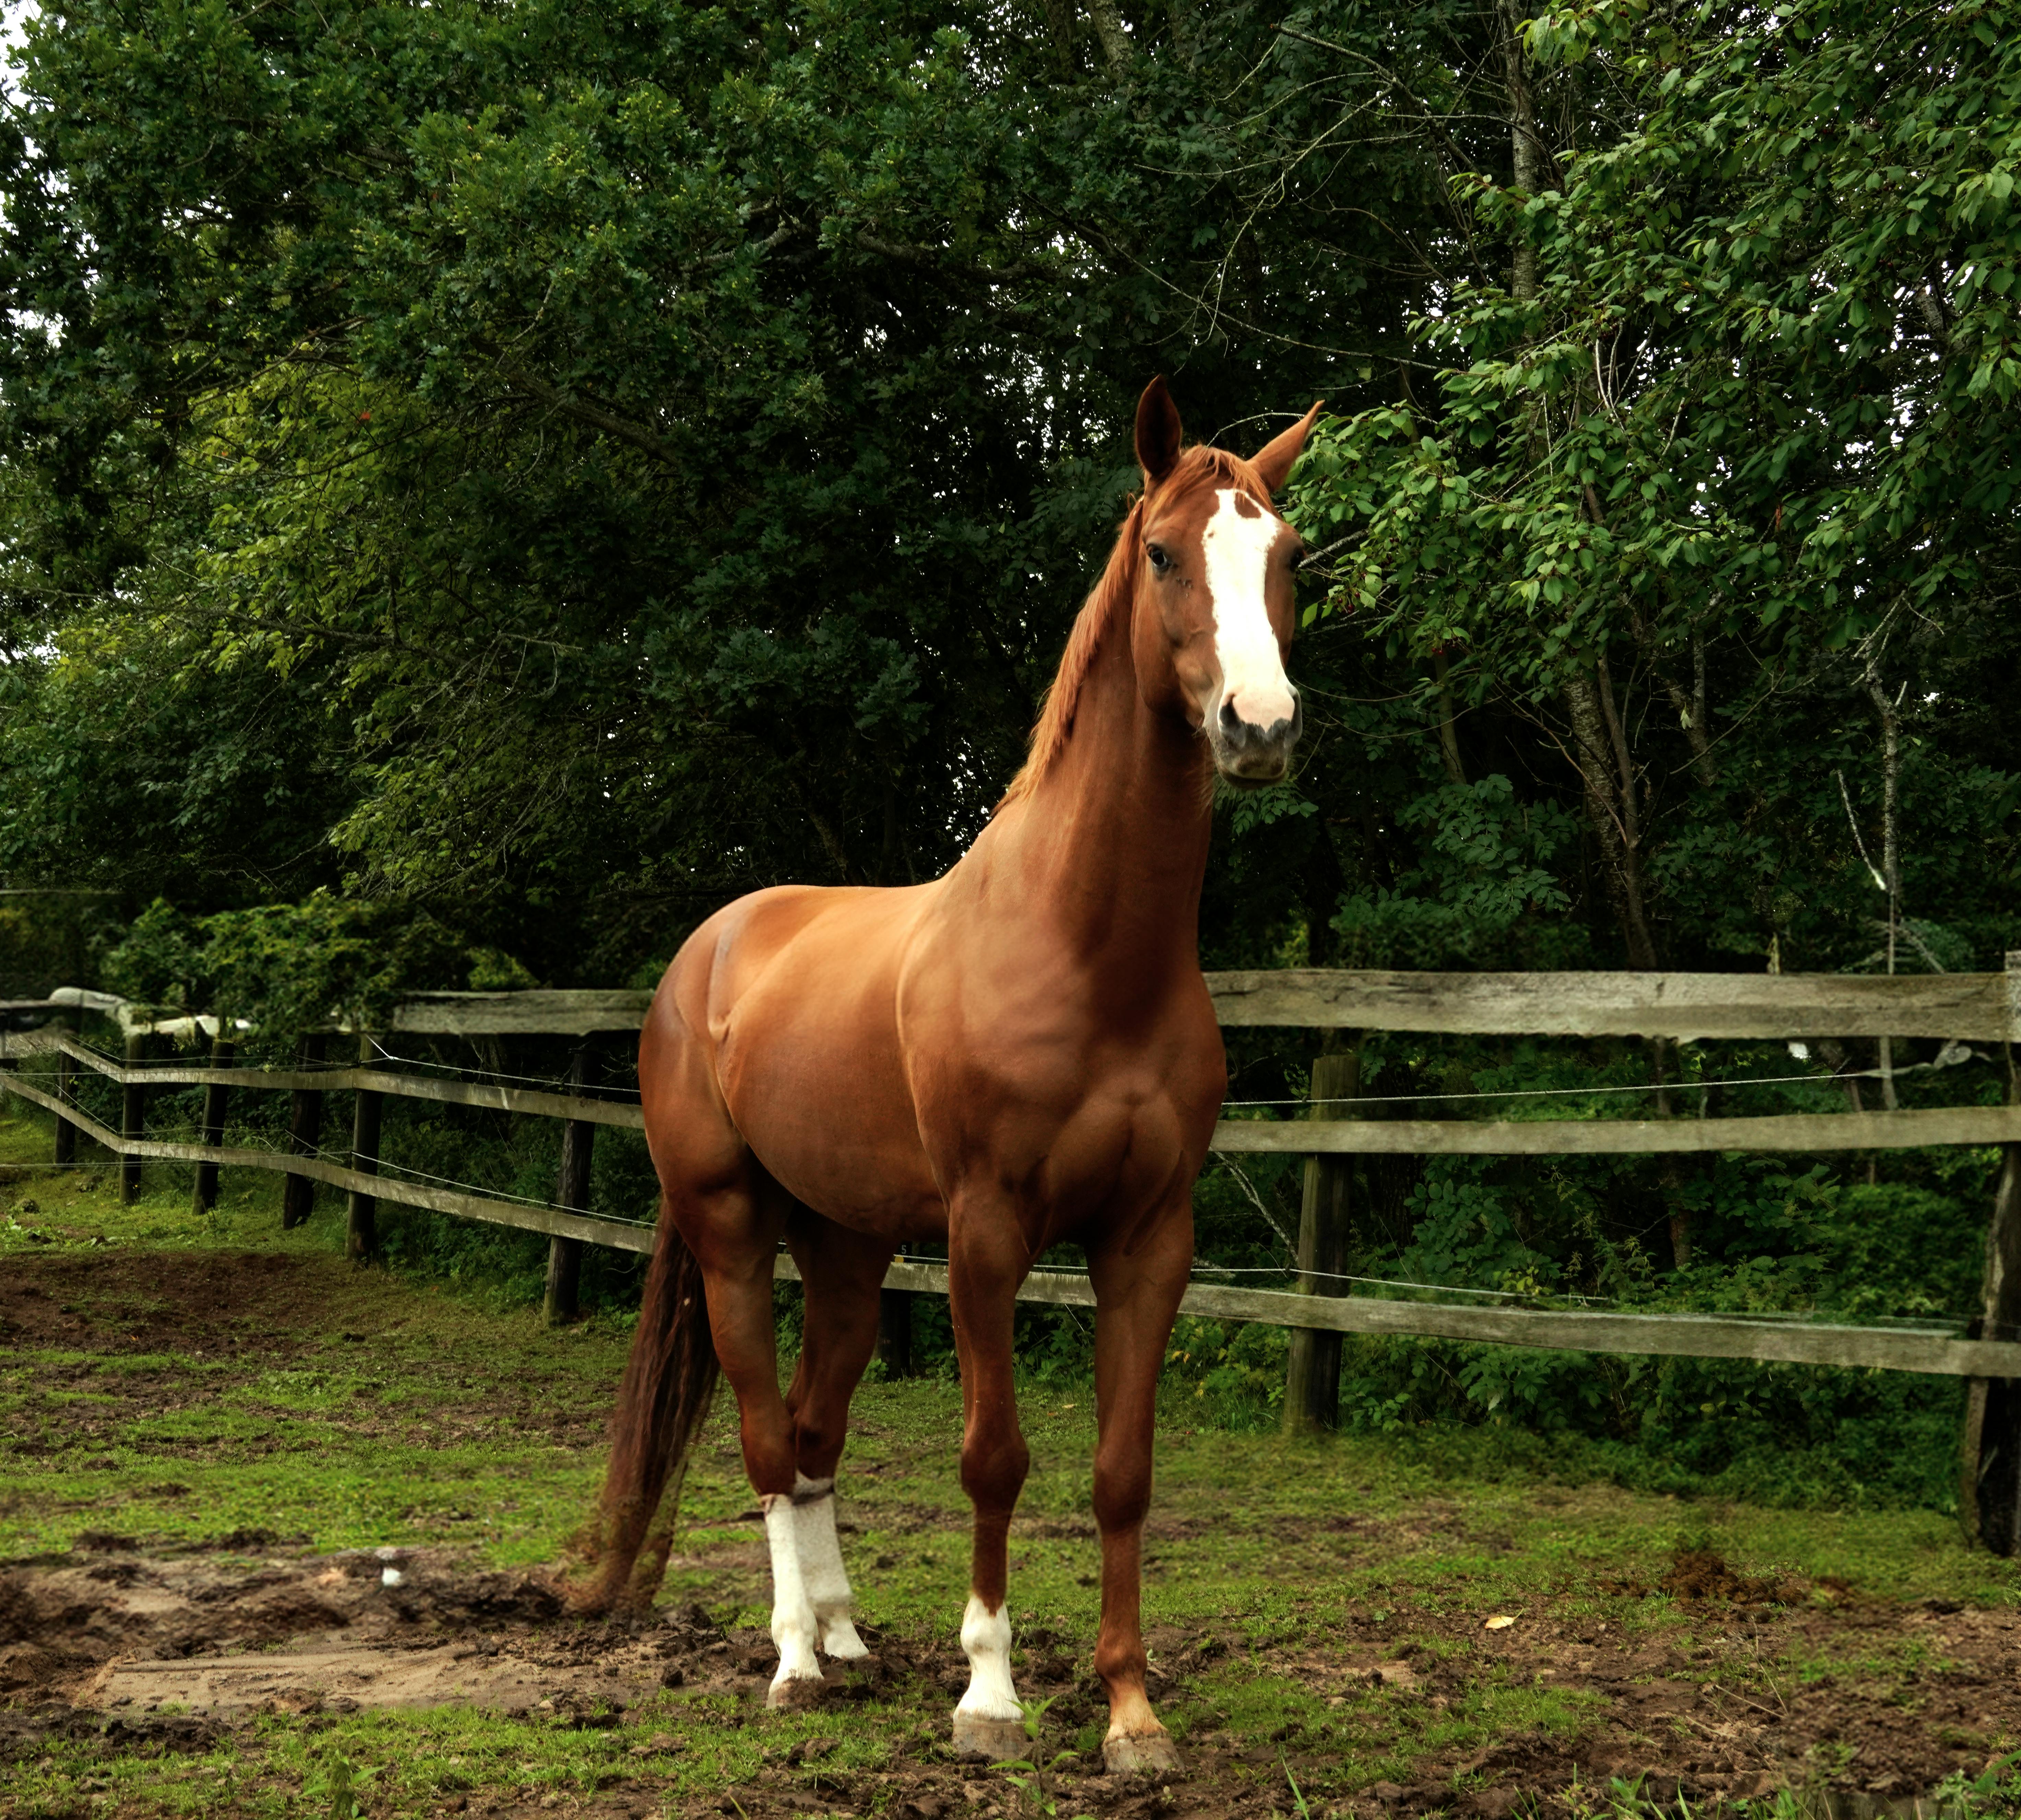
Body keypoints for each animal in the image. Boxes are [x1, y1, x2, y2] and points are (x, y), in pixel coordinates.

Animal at [573, 376, 1320, 1774]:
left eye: (1286, 554)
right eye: (1161, 553)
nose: (1257, 728)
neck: (1083, 952)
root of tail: (707, 953)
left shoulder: (1149, 1238)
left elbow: (1121, 1469)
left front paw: (1130, 1711)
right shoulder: (986, 1235)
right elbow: (993, 1457)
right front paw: (989, 1696)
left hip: (848, 1249)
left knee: (815, 1431)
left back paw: (847, 1635)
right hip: (732, 1230)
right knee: (766, 1439)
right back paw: (795, 1664)